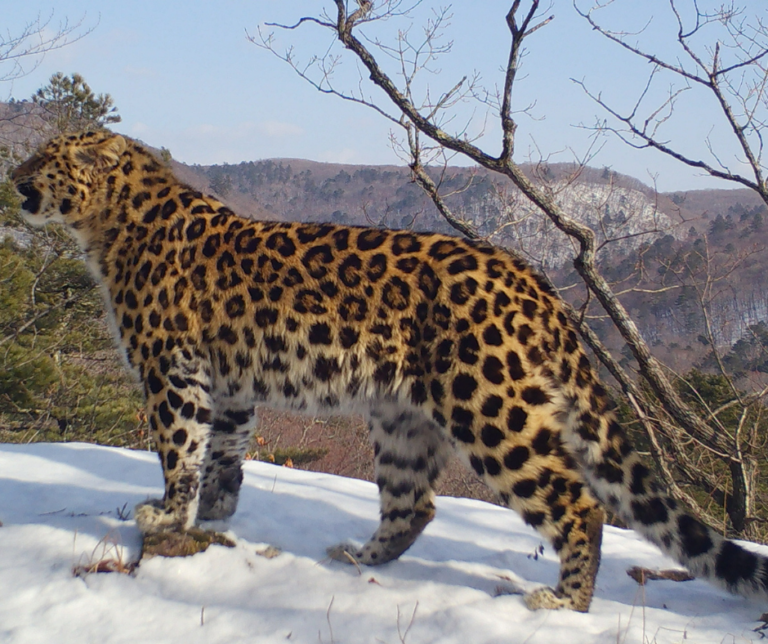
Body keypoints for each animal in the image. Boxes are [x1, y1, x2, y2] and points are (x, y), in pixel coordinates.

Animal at [11, 130, 768, 612]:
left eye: (45, 158)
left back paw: (562, 602)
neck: (108, 225)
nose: (12, 179)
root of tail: (534, 282)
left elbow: (179, 449)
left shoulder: (173, 371)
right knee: (416, 504)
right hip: (403, 415)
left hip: (490, 409)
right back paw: (356, 560)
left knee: (578, 503)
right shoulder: (226, 383)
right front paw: (215, 515)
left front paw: (167, 513)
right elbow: (222, 453)